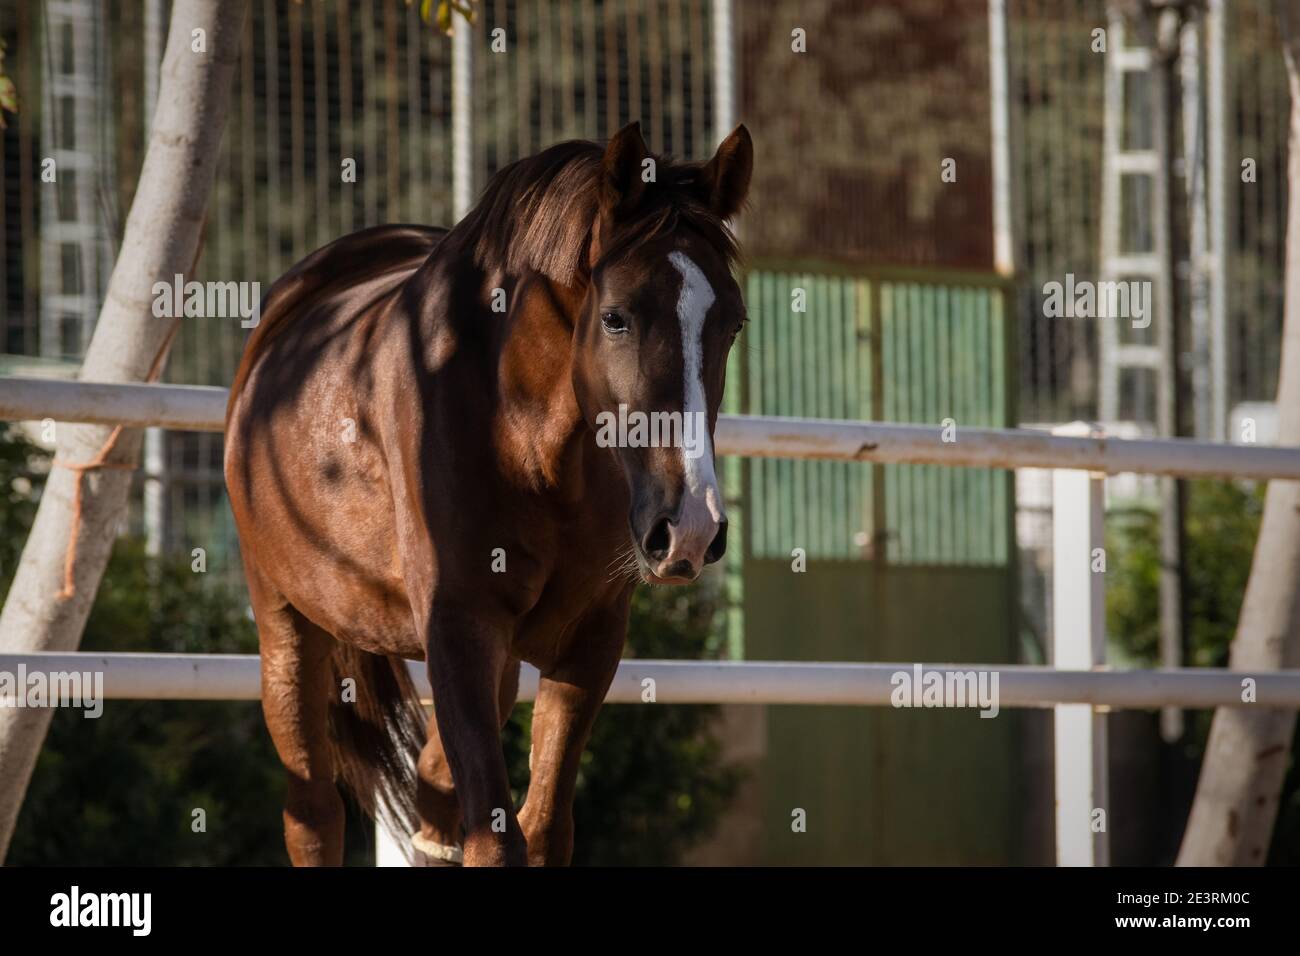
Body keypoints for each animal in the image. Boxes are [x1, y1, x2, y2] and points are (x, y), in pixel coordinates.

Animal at [224, 121, 752, 866]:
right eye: (616, 317)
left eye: (731, 323)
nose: (692, 528)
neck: (521, 435)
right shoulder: (459, 633)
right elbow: (496, 841)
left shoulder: (588, 644)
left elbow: (543, 829)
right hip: (286, 626)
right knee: (315, 815)